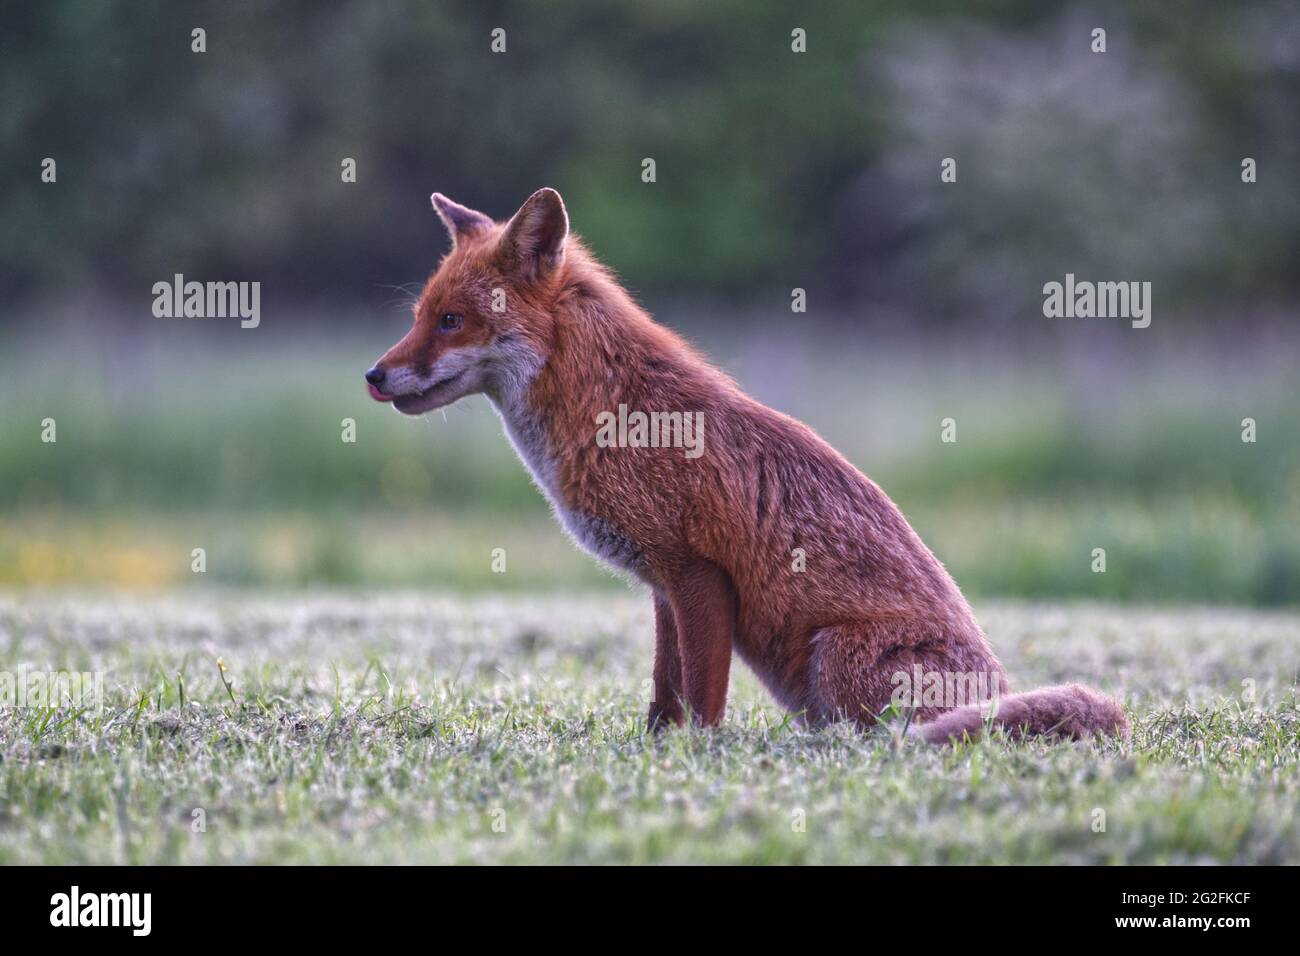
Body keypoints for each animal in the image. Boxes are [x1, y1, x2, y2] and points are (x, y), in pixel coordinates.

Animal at [365, 187, 1129, 743]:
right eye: (419, 314)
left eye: (452, 322)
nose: (373, 376)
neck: (613, 410)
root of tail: (1000, 686)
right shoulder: (662, 585)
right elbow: (664, 690)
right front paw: (655, 749)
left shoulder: (699, 575)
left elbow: (702, 697)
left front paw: (697, 755)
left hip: (837, 660)